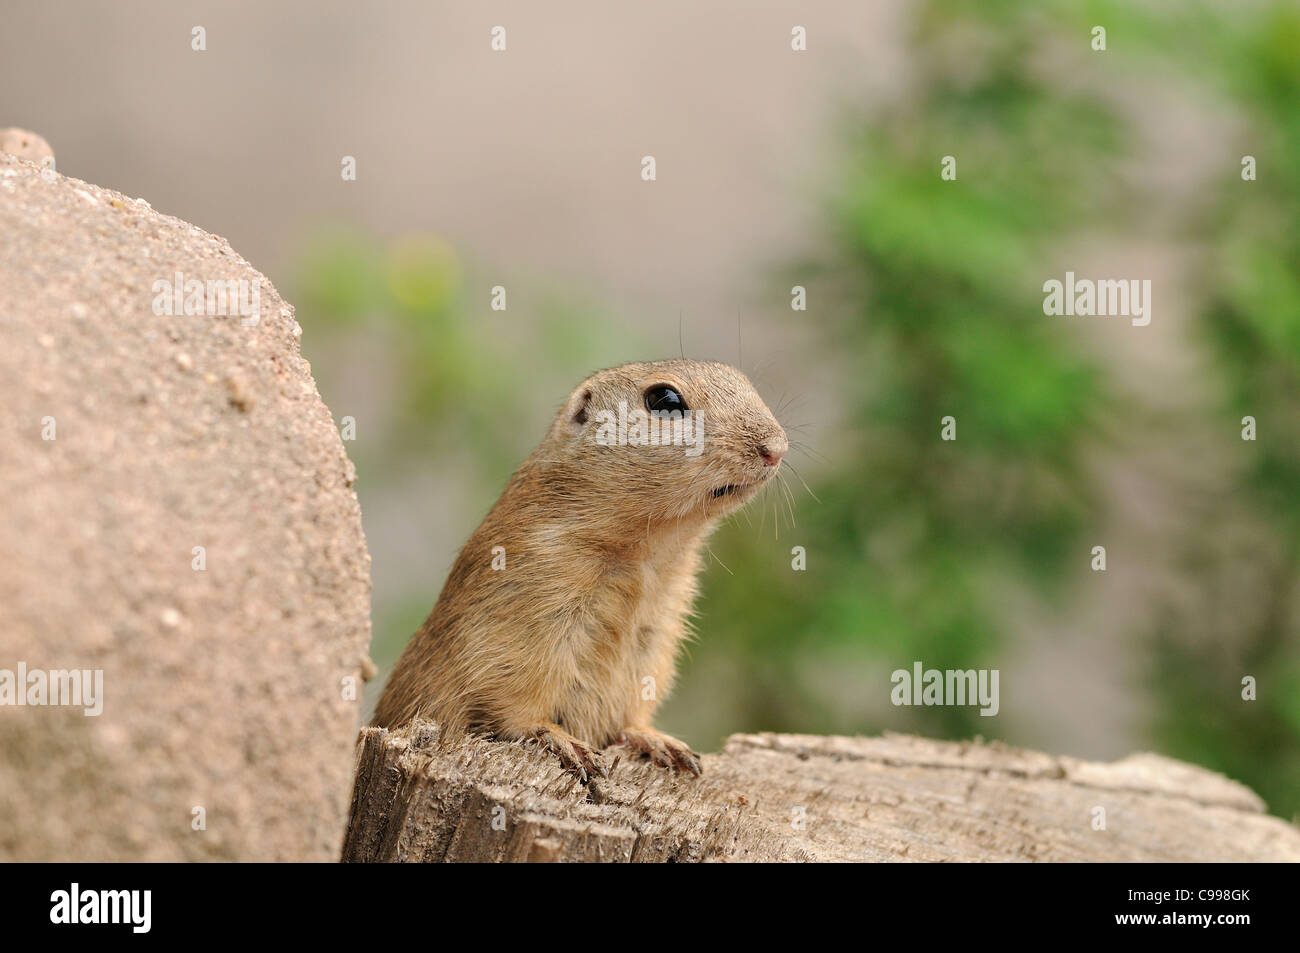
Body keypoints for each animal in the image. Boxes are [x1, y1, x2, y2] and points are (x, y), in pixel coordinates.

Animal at [374, 359, 788, 780]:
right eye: (664, 399)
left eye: (741, 378)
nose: (776, 448)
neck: (644, 553)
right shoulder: (530, 604)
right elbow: (513, 694)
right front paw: (561, 741)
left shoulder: (655, 634)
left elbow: (633, 704)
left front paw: (656, 740)